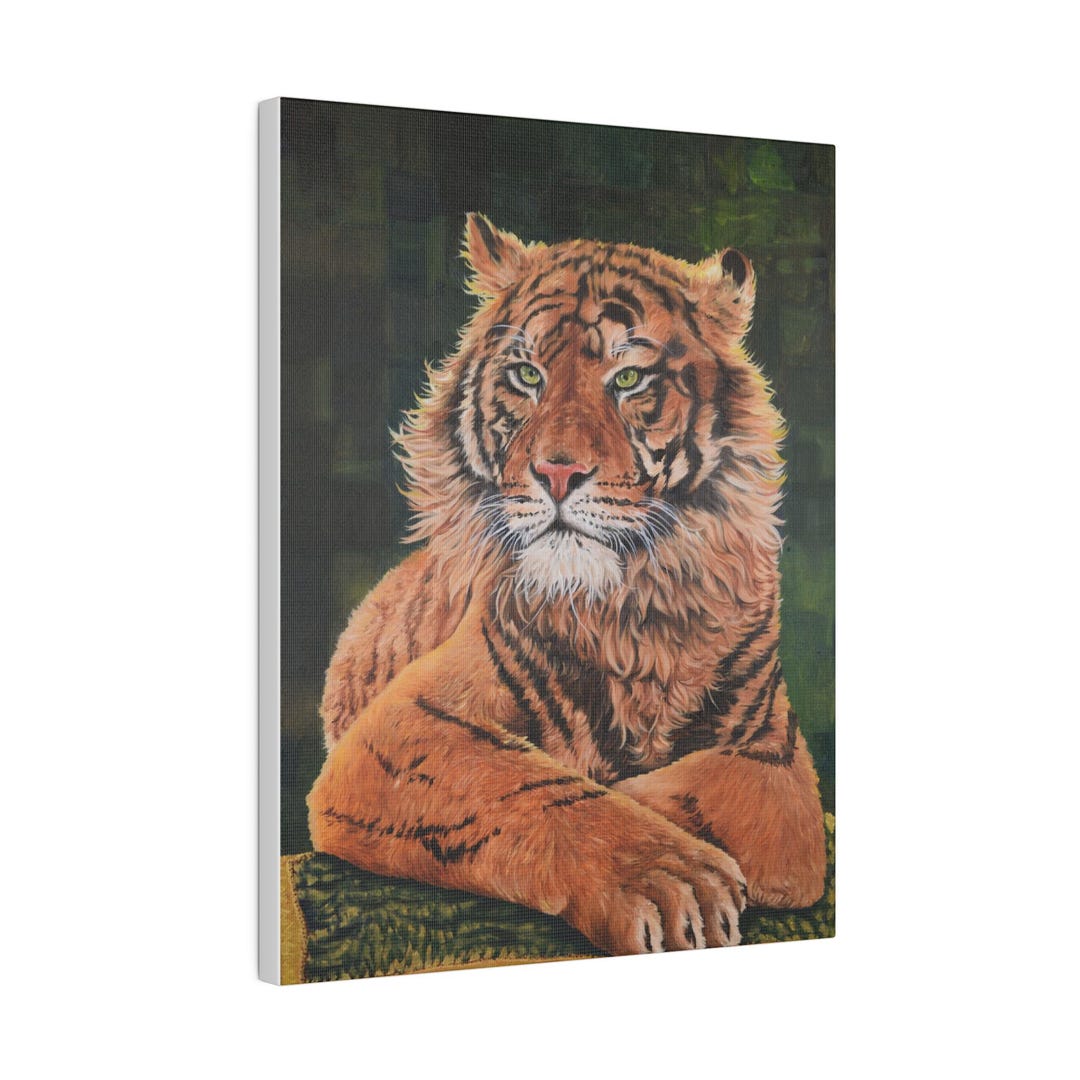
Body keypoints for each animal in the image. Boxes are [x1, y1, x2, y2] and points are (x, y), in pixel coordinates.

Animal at [308, 213, 827, 957]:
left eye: (629, 377)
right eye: (528, 374)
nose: (556, 473)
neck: (628, 617)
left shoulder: (772, 748)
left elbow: (721, 796)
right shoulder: (404, 723)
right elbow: (533, 790)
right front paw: (672, 879)